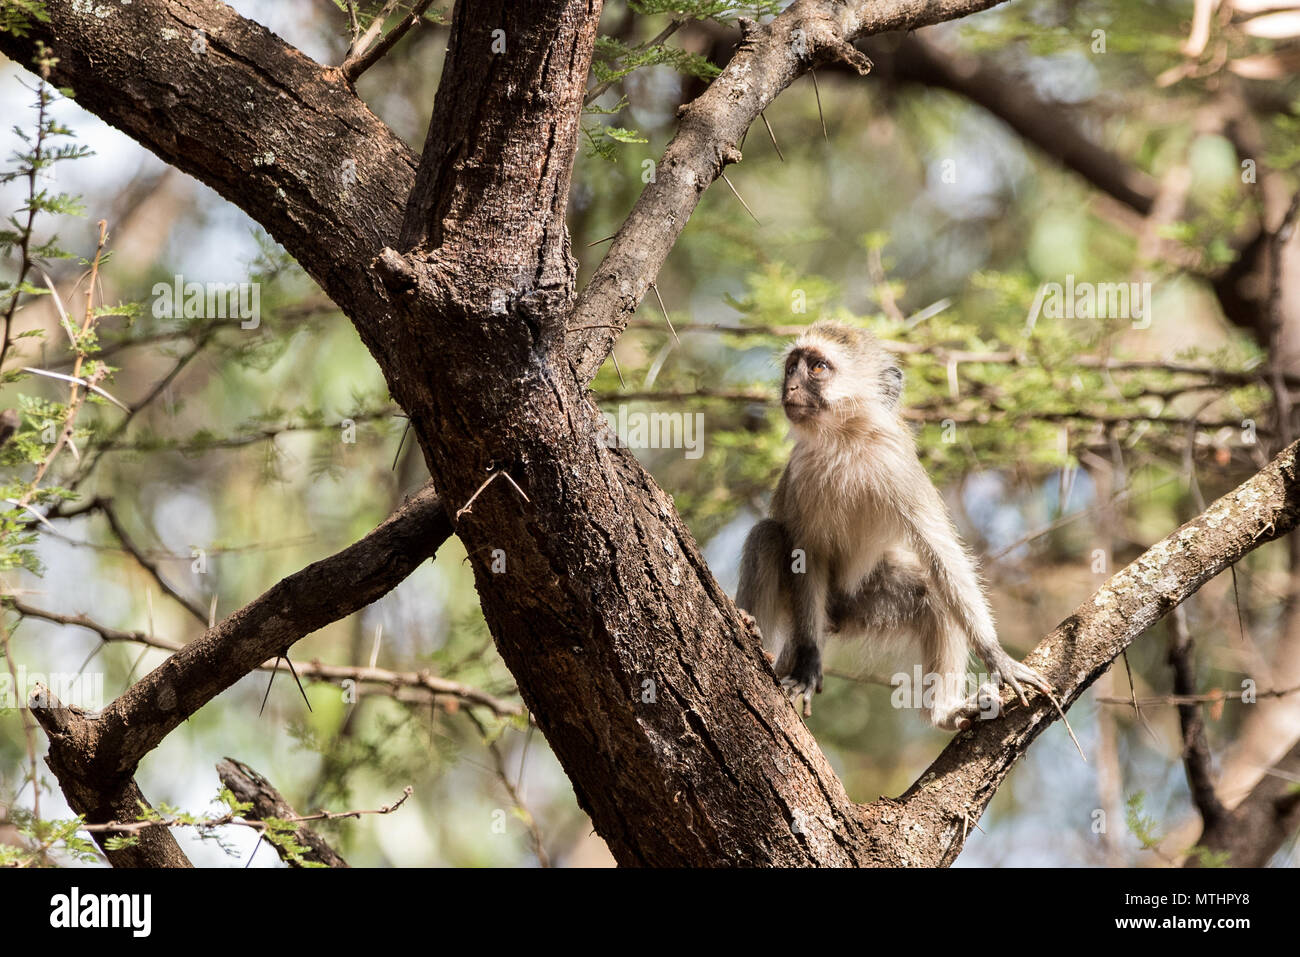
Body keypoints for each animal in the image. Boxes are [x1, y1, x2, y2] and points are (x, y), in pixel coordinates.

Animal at [736, 320, 1051, 729]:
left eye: (818, 367)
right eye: (792, 367)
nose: (788, 388)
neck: (846, 442)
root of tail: (834, 616)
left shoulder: (899, 466)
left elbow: (941, 554)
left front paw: (996, 656)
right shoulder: (801, 476)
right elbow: (806, 555)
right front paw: (808, 666)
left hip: (863, 604)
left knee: (932, 591)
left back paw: (943, 712)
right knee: (768, 536)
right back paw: (758, 635)